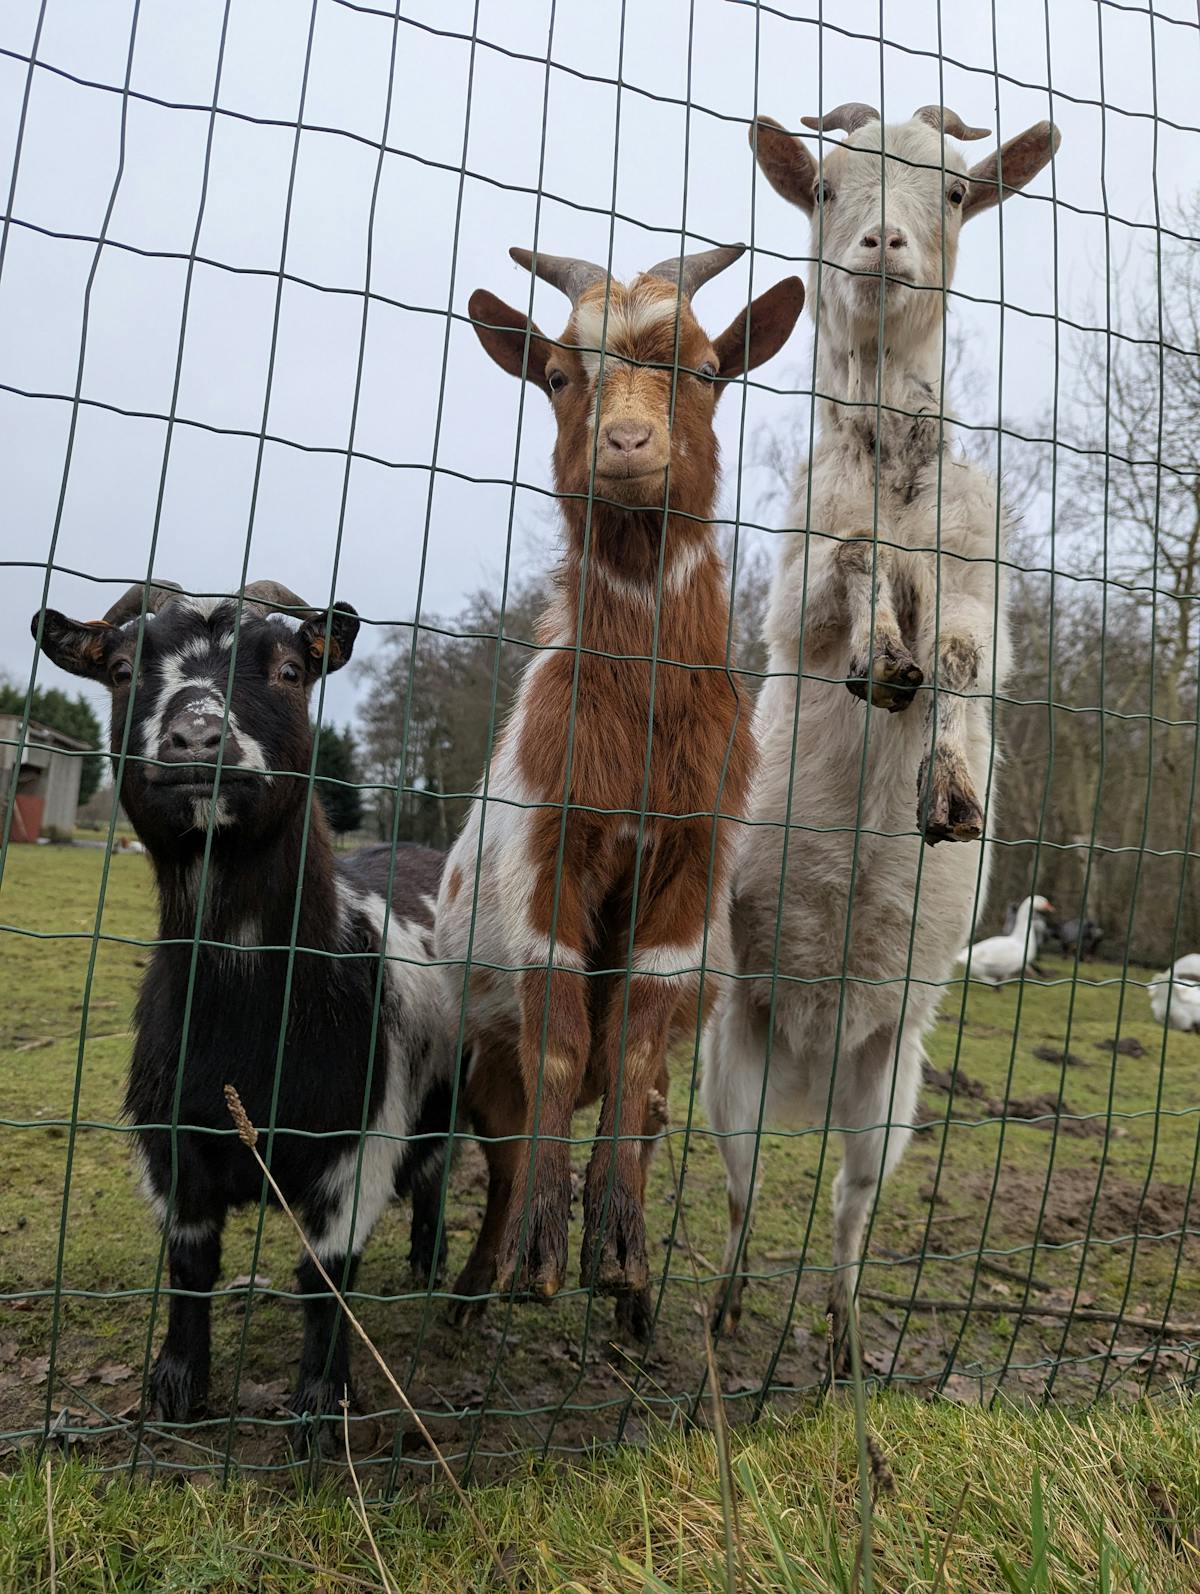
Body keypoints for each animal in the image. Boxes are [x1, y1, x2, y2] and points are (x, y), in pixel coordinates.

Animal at [31, 580, 455, 1423]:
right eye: (122, 670)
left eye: (291, 669)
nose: (197, 739)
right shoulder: (172, 1141)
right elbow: (191, 1263)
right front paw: (175, 1384)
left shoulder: (360, 1141)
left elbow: (327, 1279)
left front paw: (323, 1408)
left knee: (439, 1170)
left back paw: (432, 1260)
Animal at [435, 245, 804, 1333]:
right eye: (560, 376)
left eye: (710, 372)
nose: (628, 442)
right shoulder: (551, 842)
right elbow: (558, 1024)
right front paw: (543, 1252)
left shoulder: (690, 854)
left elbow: (639, 1030)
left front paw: (621, 1256)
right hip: (478, 1050)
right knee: (506, 1143)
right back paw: (476, 1285)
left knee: (638, 1109)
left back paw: (635, 1308)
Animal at [702, 102, 1060, 1365]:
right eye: (823, 188)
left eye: (954, 192)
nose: (884, 244)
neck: (898, 470)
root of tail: (812, 1060)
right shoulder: (798, 569)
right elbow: (851, 576)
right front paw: (876, 660)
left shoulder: (983, 584)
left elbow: (958, 659)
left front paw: (948, 786)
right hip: (732, 1059)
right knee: (745, 1191)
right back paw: (719, 1311)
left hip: (894, 1085)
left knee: (853, 1203)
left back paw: (849, 1333)